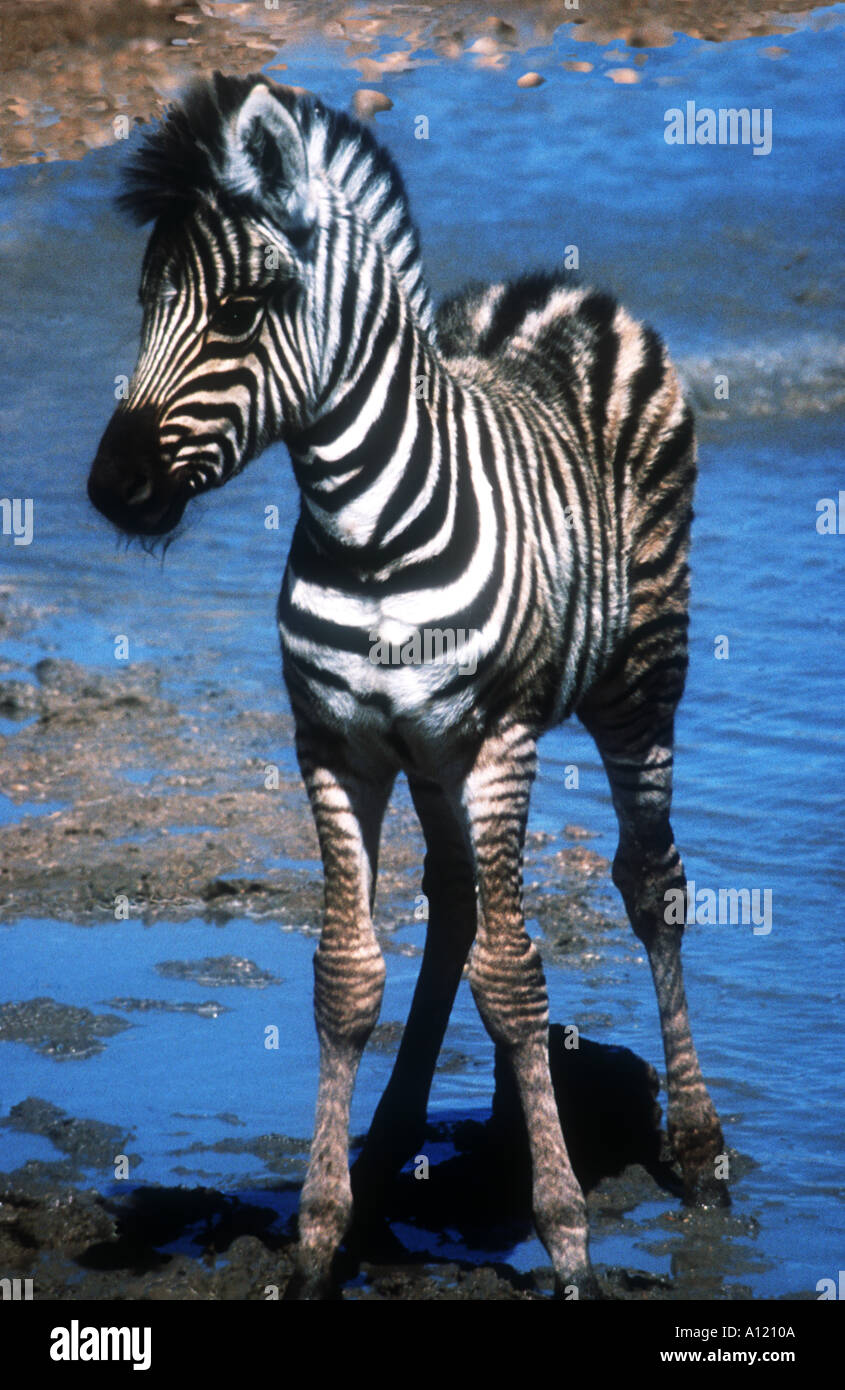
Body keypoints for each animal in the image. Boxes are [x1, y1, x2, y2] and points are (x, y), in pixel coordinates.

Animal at [87, 73, 727, 1299]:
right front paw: (319, 1235)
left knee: (649, 883)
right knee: (457, 906)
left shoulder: (498, 740)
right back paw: (387, 1149)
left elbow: (514, 981)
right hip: (433, 757)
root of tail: (561, 290)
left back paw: (702, 1150)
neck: (367, 533)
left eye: (242, 311)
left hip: (640, 679)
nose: (110, 488)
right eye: (140, 305)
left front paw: (567, 1241)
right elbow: (348, 979)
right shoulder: (339, 742)